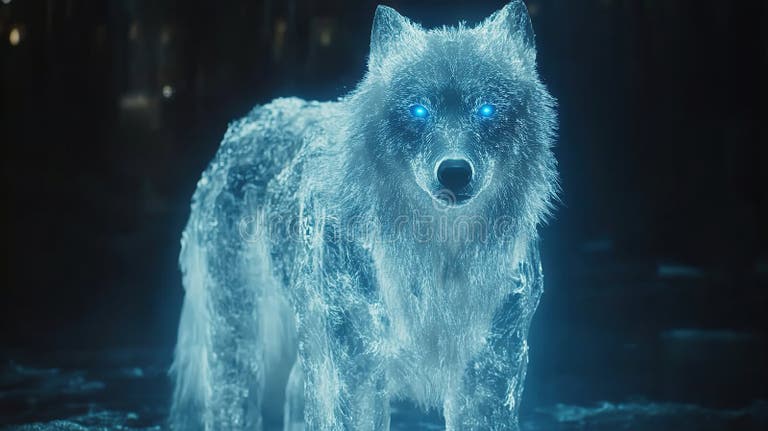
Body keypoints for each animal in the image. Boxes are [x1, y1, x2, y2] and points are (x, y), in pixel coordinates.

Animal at [170, 2, 558, 430]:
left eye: (486, 109)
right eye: (419, 110)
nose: (454, 172)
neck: (439, 254)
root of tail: (251, 118)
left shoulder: (492, 373)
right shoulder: (358, 369)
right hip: (244, 340)